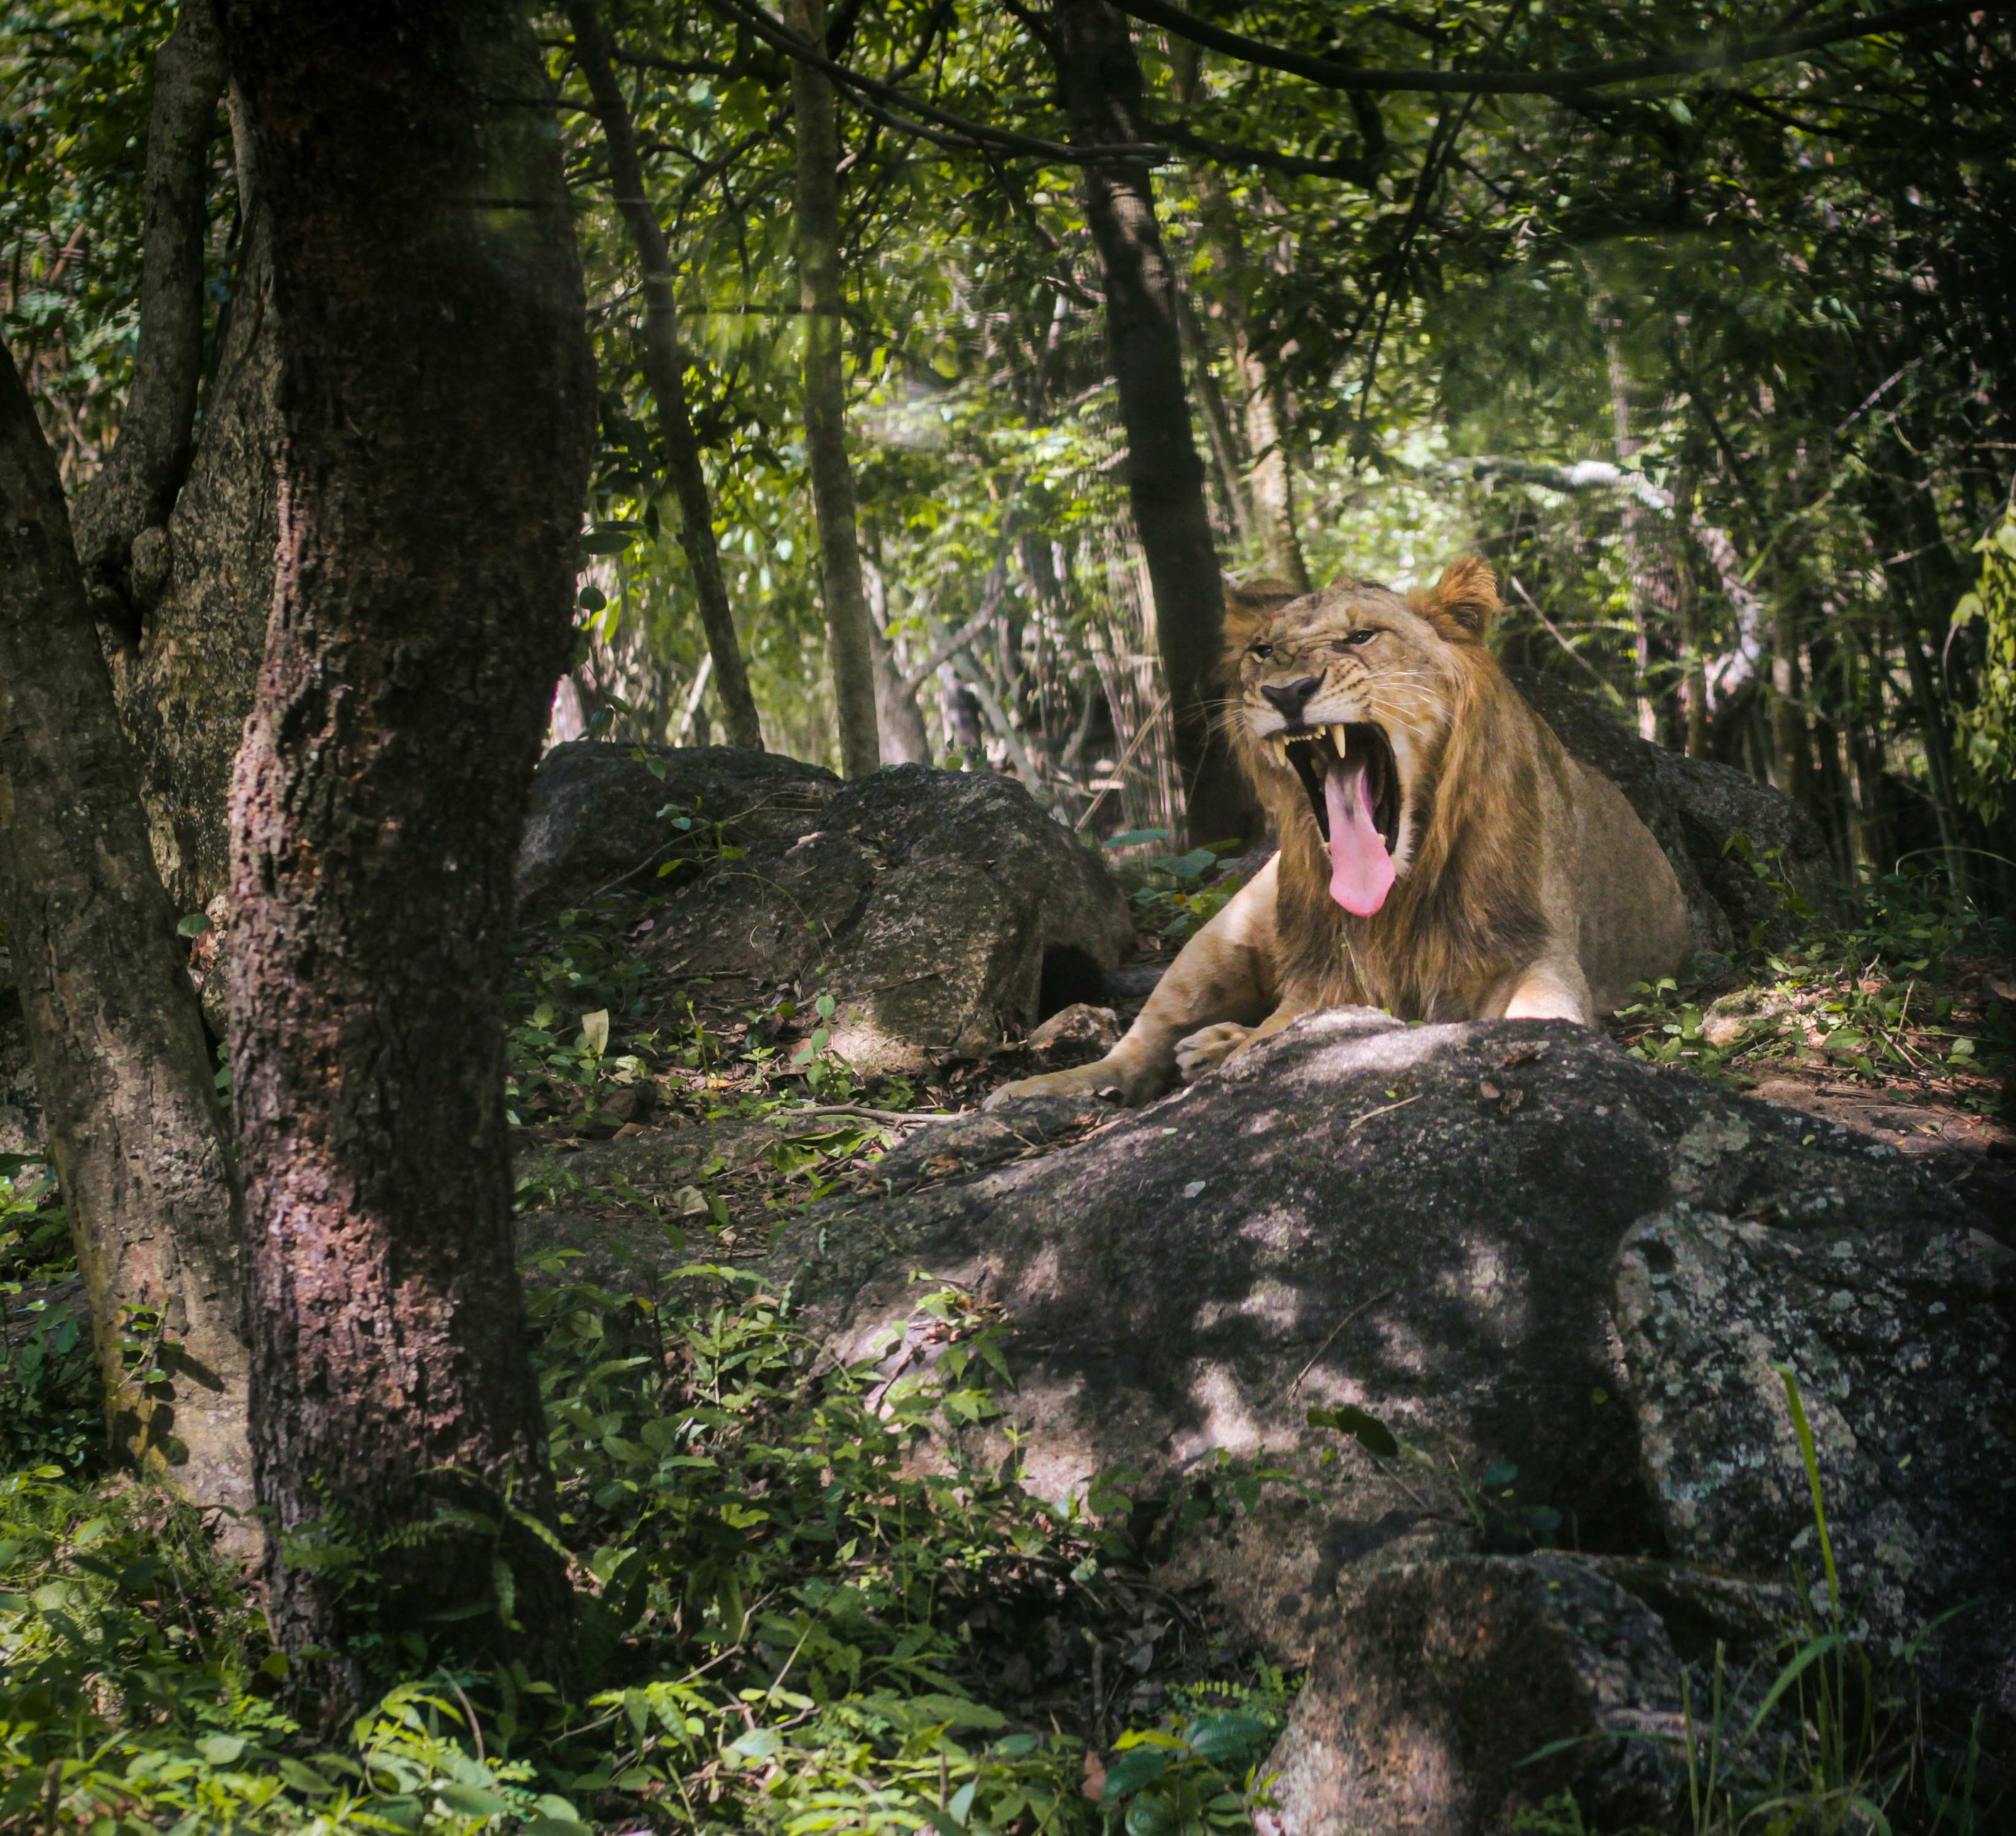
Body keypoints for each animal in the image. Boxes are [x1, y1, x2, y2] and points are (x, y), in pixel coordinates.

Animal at [992, 556, 1693, 1107]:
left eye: (1361, 636)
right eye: (1262, 651)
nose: (1287, 691)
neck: (1401, 889)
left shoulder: (1539, 953)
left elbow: (1541, 1020)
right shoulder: (1320, 980)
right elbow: (1276, 1032)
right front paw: (1229, 1051)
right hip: (1219, 936)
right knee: (1137, 1049)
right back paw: (1050, 1087)